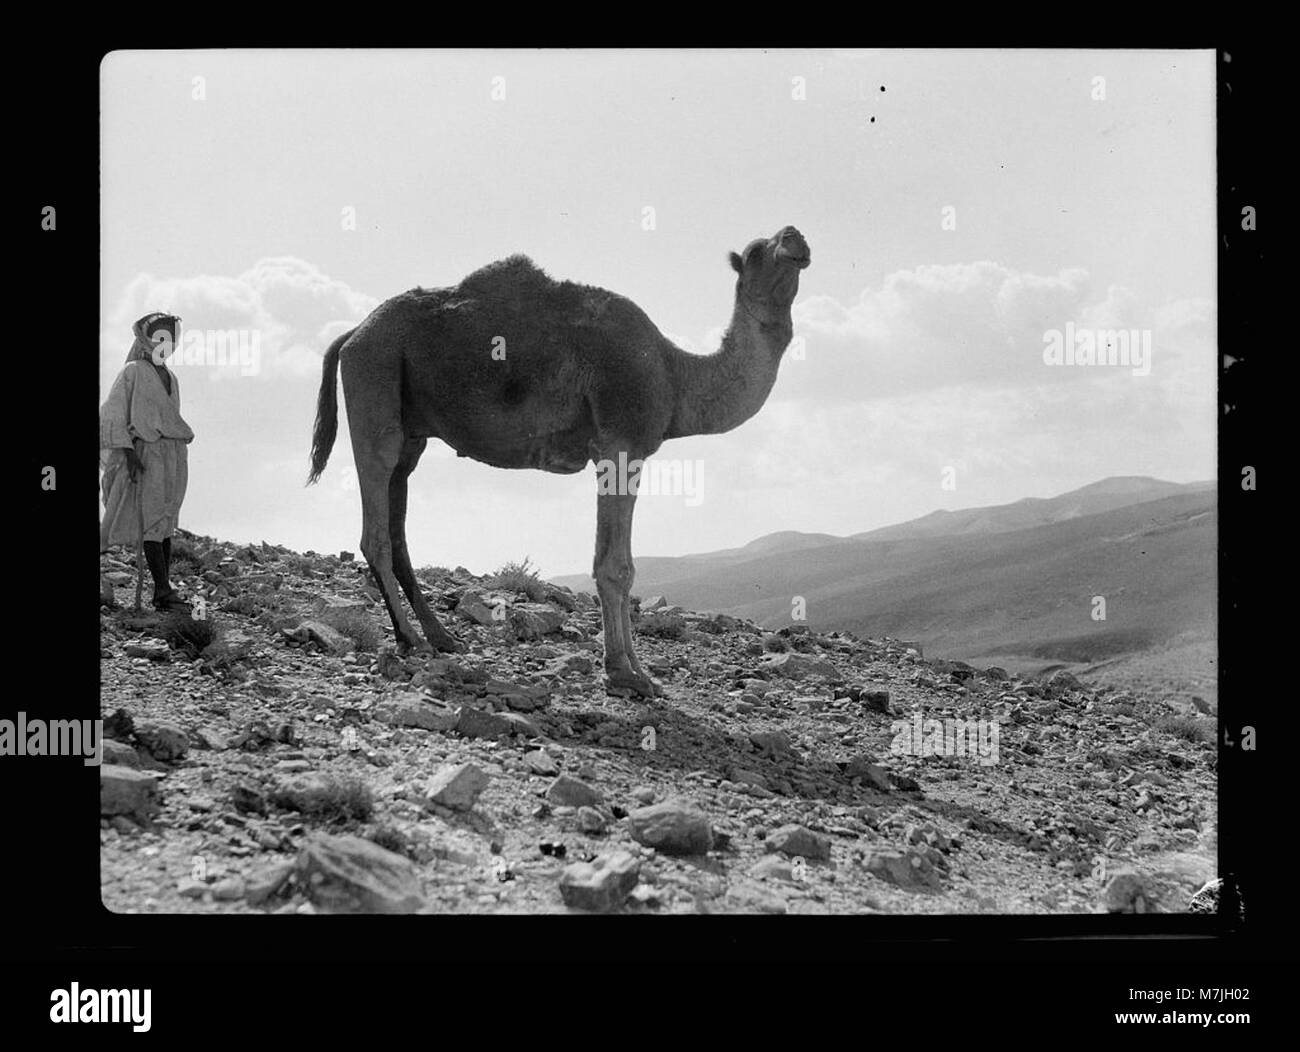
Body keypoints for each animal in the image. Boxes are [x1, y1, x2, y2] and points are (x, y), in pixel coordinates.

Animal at [308, 225, 811, 698]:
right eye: (756, 251)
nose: (795, 238)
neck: (674, 374)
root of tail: (353, 333)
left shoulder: (622, 449)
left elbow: (622, 565)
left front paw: (640, 672)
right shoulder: (618, 442)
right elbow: (615, 567)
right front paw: (626, 673)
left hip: (409, 421)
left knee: (398, 516)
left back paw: (439, 636)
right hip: (374, 377)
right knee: (376, 517)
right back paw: (411, 639)